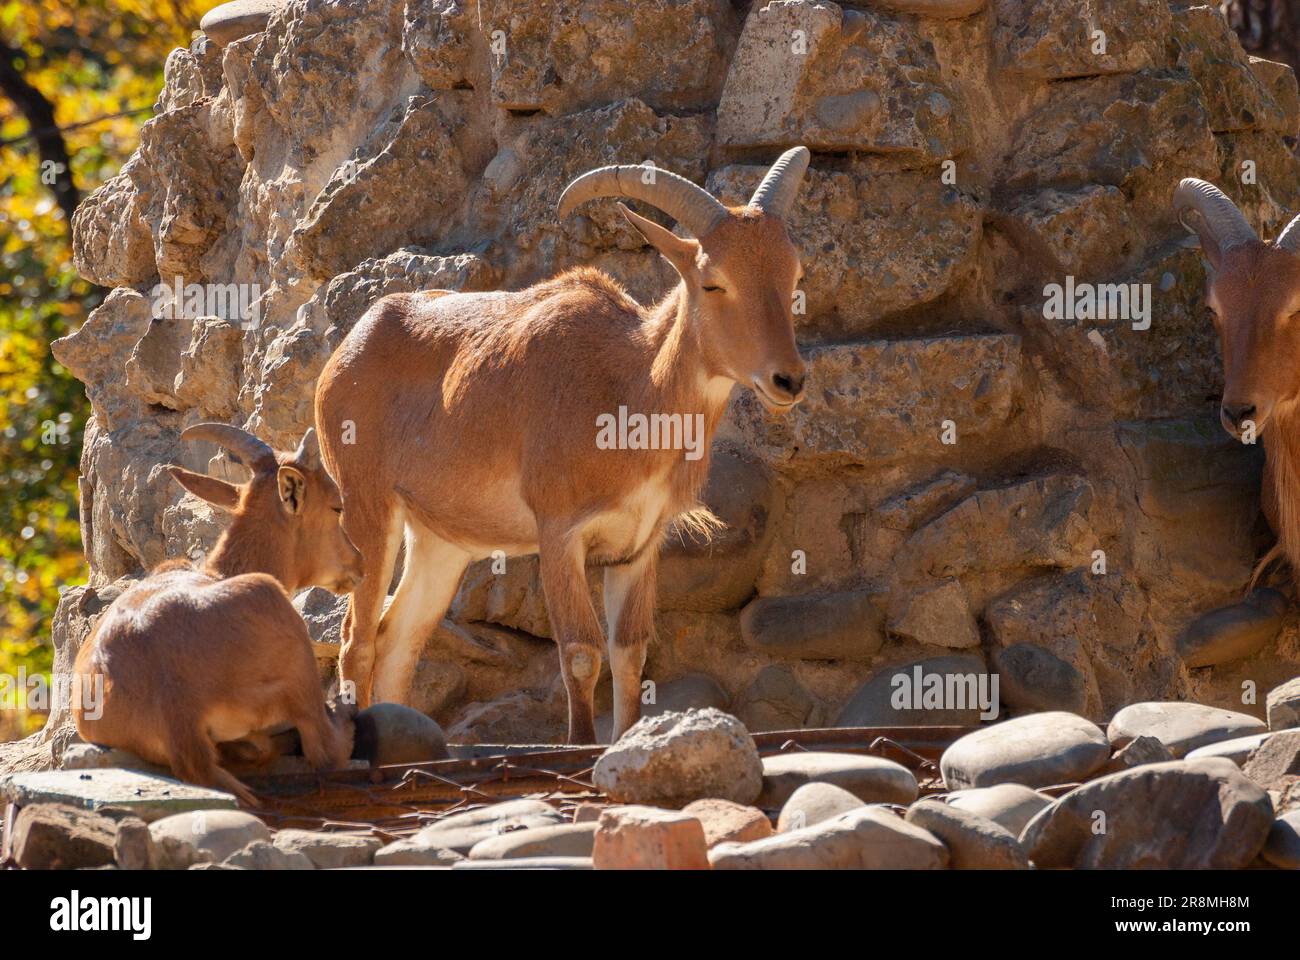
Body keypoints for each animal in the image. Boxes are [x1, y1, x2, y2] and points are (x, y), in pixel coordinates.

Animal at [71, 424, 365, 804]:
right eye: (336, 507)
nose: (358, 563)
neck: (220, 572)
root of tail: (175, 712)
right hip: (293, 666)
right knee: (326, 748)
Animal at [315, 147, 812, 743]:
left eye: (793, 273)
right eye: (713, 282)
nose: (788, 379)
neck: (627, 390)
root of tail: (346, 352)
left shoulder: (639, 547)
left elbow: (629, 653)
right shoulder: (559, 533)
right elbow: (580, 651)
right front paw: (581, 743)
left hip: (441, 542)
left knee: (398, 639)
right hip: (367, 509)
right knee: (357, 640)